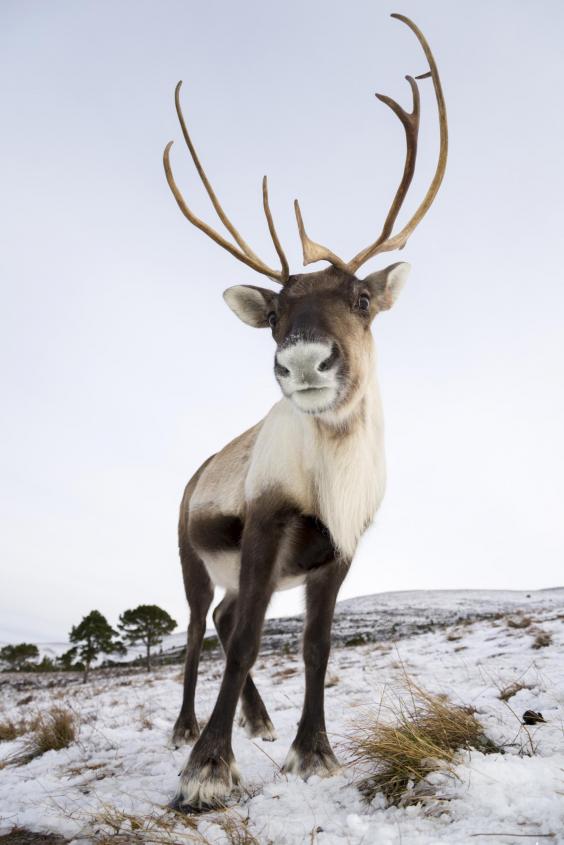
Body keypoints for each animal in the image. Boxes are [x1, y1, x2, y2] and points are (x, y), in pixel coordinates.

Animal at [163, 13, 447, 811]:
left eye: (361, 297)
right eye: (273, 315)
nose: (302, 362)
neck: (332, 478)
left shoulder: (342, 545)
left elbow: (316, 644)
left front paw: (312, 750)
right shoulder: (267, 522)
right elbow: (249, 640)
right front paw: (207, 767)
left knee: (225, 620)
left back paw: (258, 721)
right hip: (193, 560)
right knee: (202, 629)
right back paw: (187, 726)